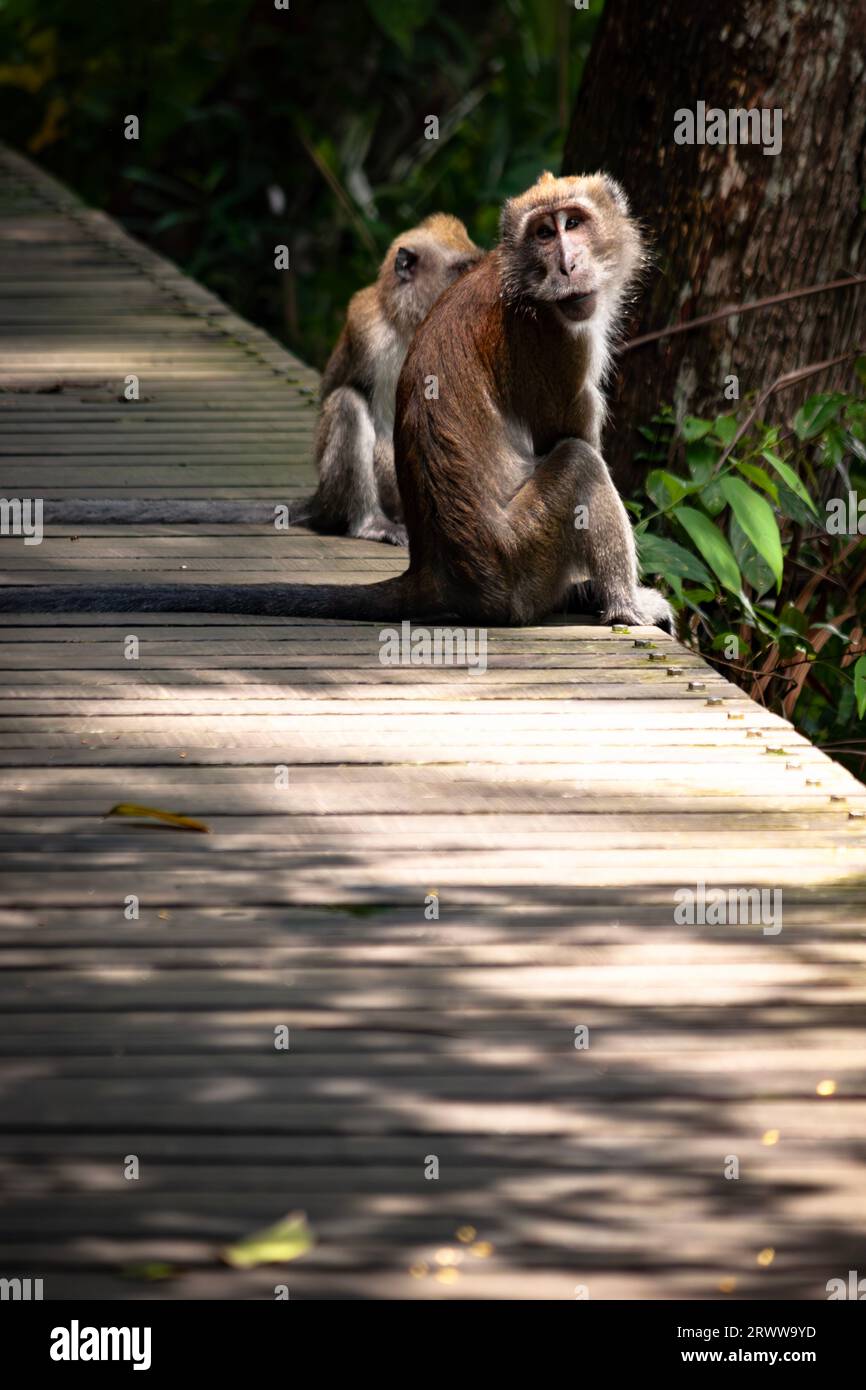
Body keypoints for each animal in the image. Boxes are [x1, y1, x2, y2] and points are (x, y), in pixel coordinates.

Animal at [293, 214, 483, 547]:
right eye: (461, 270)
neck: (413, 322)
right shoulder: (372, 336)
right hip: (333, 491)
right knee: (348, 404)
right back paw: (371, 522)